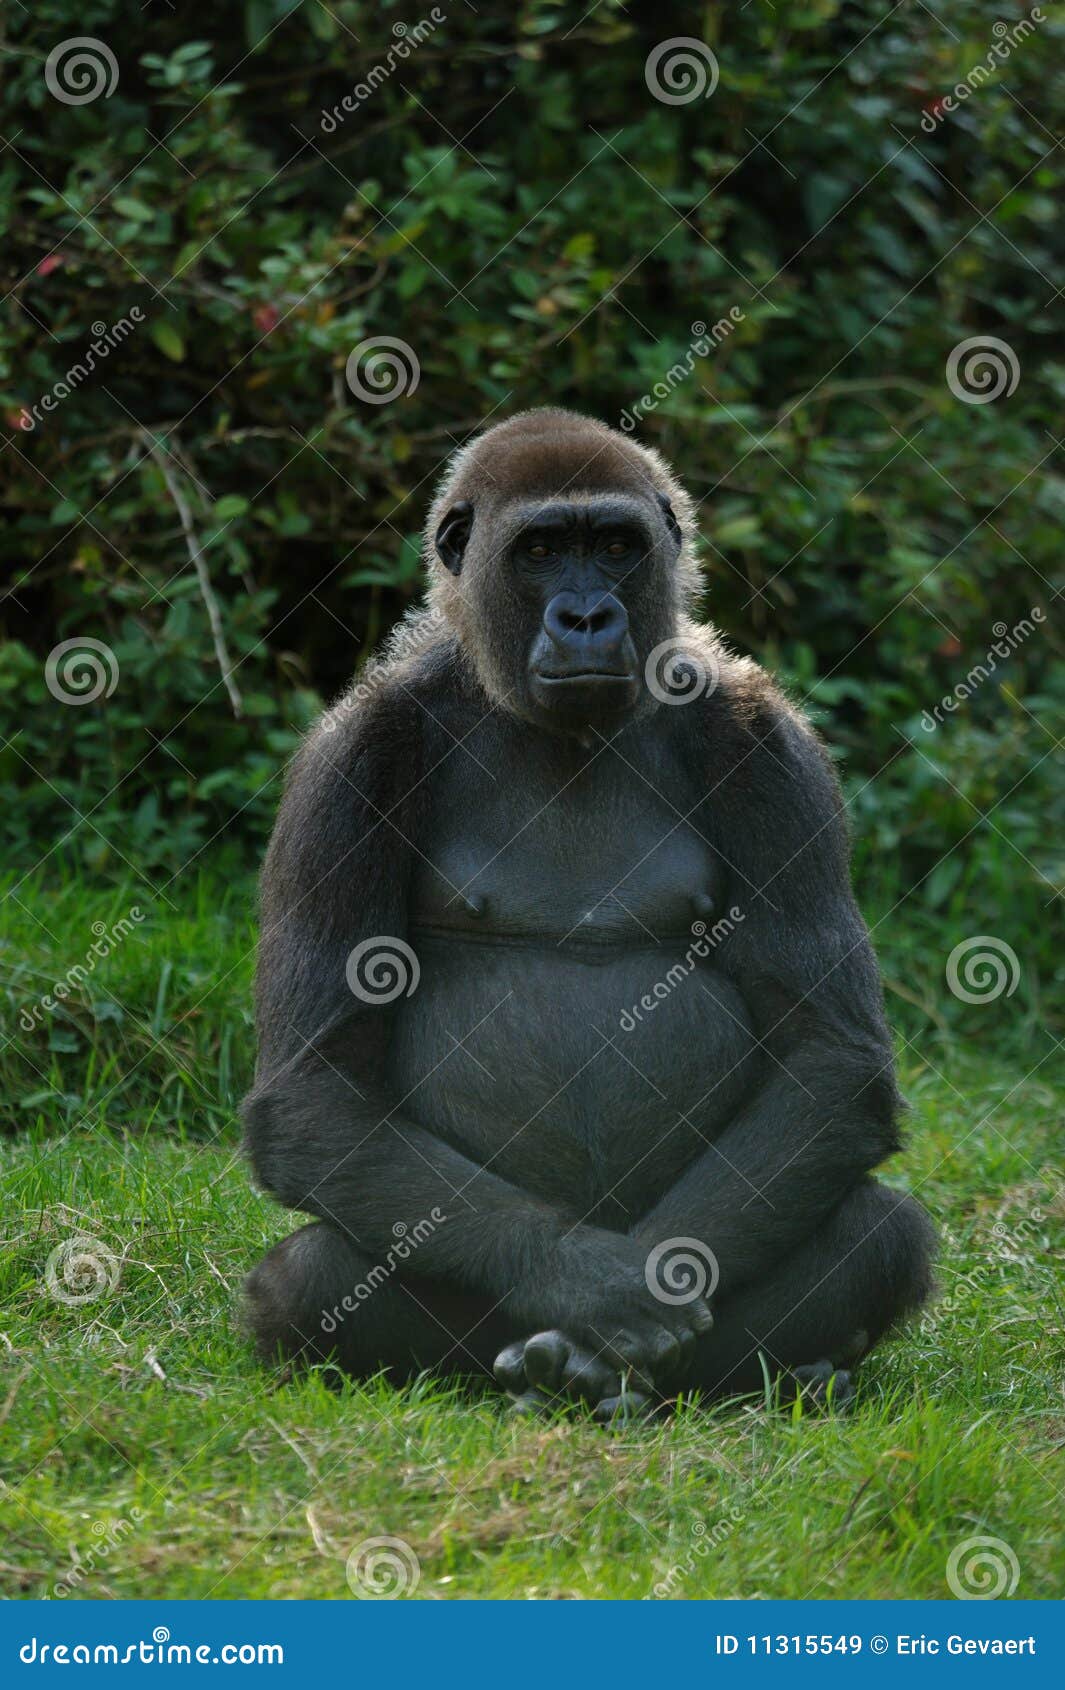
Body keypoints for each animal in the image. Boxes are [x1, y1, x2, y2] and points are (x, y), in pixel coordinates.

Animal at [242, 407, 935, 1419]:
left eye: (613, 547)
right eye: (538, 552)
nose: (583, 618)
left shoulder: (768, 742)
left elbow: (828, 1056)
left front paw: (648, 1289)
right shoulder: (349, 758)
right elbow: (311, 1088)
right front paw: (593, 1284)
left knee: (883, 1235)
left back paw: (765, 1374)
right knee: (310, 1280)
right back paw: (555, 1363)